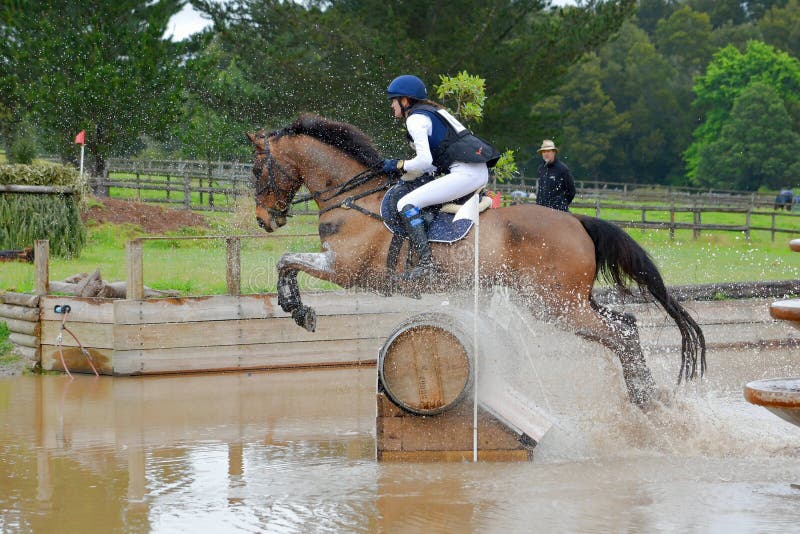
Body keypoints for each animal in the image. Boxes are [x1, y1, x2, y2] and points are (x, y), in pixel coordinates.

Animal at [247, 114, 706, 409]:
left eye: (255, 170)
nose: (264, 220)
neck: (352, 196)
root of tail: (576, 221)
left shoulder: (344, 269)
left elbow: (287, 260)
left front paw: (297, 309)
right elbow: (287, 261)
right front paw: (297, 307)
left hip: (553, 303)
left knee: (618, 332)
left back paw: (643, 399)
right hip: (568, 299)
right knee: (625, 324)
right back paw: (649, 395)